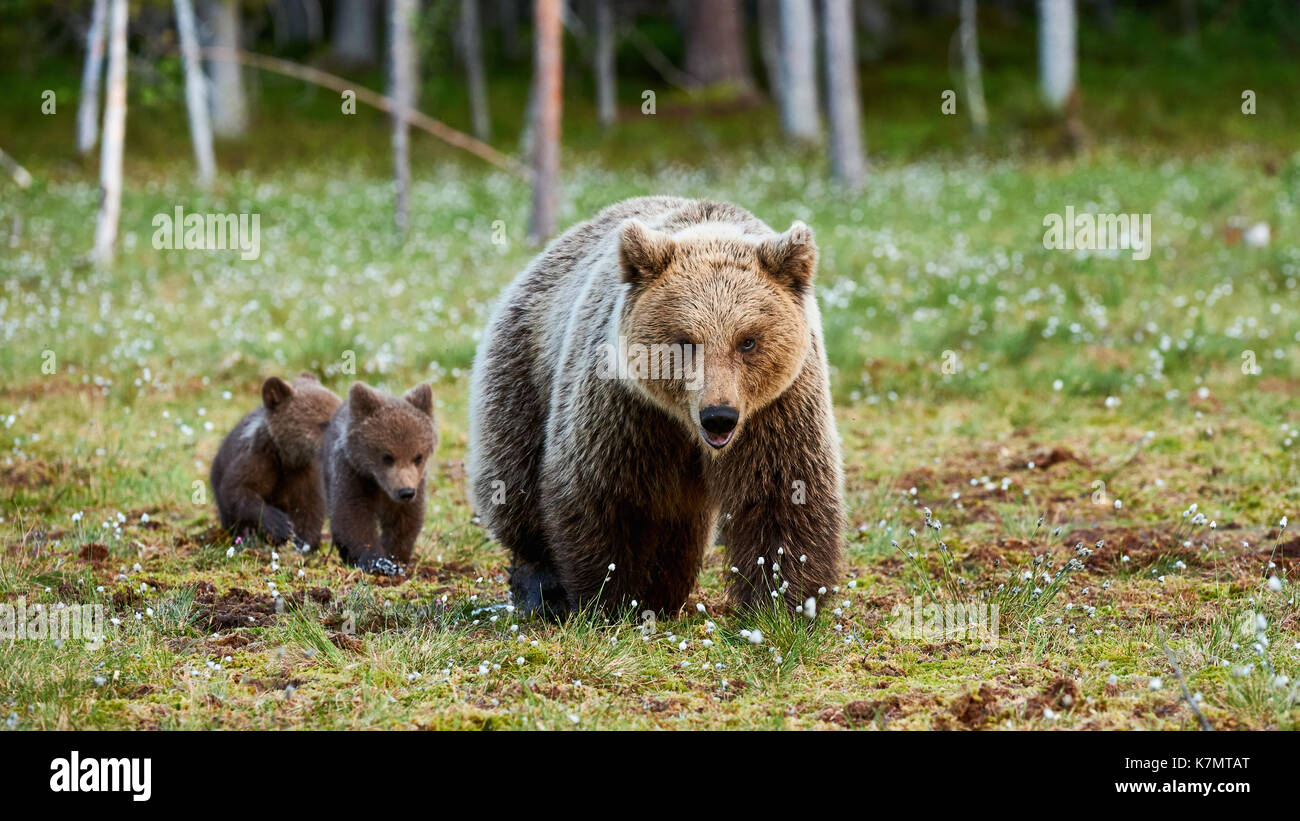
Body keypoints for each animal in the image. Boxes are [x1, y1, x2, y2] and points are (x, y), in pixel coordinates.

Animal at [210, 373, 341, 552]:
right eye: (324, 423)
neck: (288, 458)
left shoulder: (307, 474)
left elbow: (310, 508)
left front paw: (304, 545)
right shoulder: (259, 460)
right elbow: (237, 490)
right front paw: (280, 524)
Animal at [322, 381, 437, 575]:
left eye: (418, 456)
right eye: (387, 456)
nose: (406, 492)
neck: (379, 484)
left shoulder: (416, 484)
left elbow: (405, 521)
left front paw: (396, 558)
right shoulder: (352, 475)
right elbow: (353, 515)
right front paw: (378, 562)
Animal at [468, 196, 843, 618]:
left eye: (748, 340)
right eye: (686, 341)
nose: (718, 416)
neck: (683, 425)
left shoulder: (777, 410)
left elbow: (782, 496)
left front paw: (781, 603)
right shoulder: (626, 409)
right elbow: (602, 494)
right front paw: (609, 598)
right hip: (523, 372)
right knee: (515, 484)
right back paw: (540, 586)